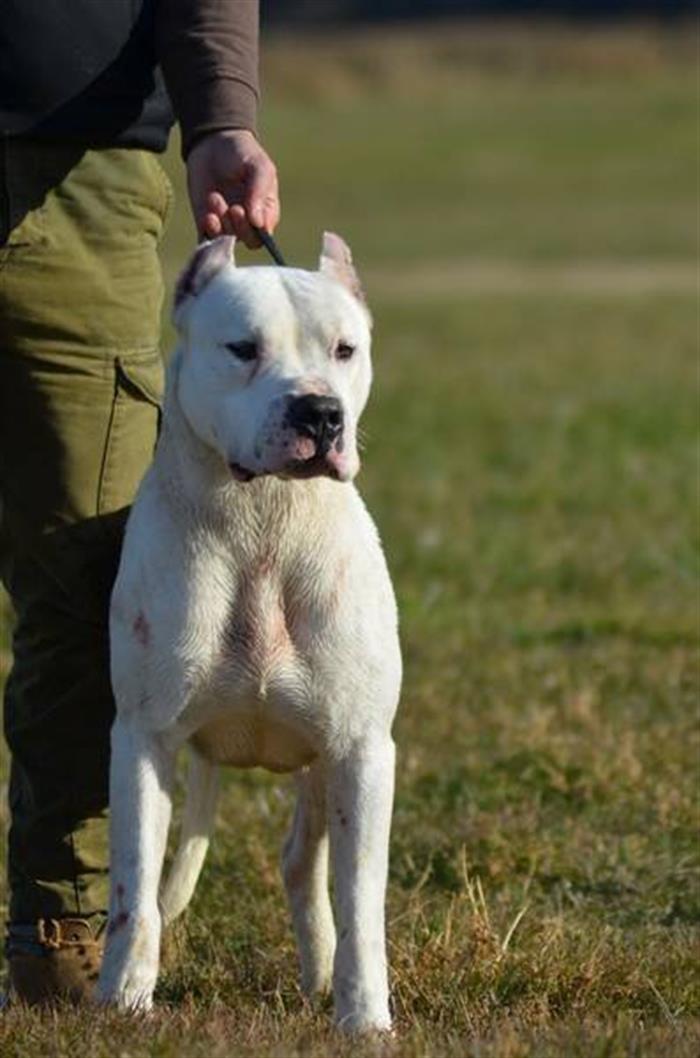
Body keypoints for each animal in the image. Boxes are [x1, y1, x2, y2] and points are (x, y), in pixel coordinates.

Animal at [99, 233, 406, 1032]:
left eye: (345, 349)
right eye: (242, 348)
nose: (320, 413)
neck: (265, 522)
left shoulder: (361, 750)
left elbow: (361, 901)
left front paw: (366, 1017)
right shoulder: (143, 739)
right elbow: (135, 891)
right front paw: (122, 1002)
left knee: (304, 865)